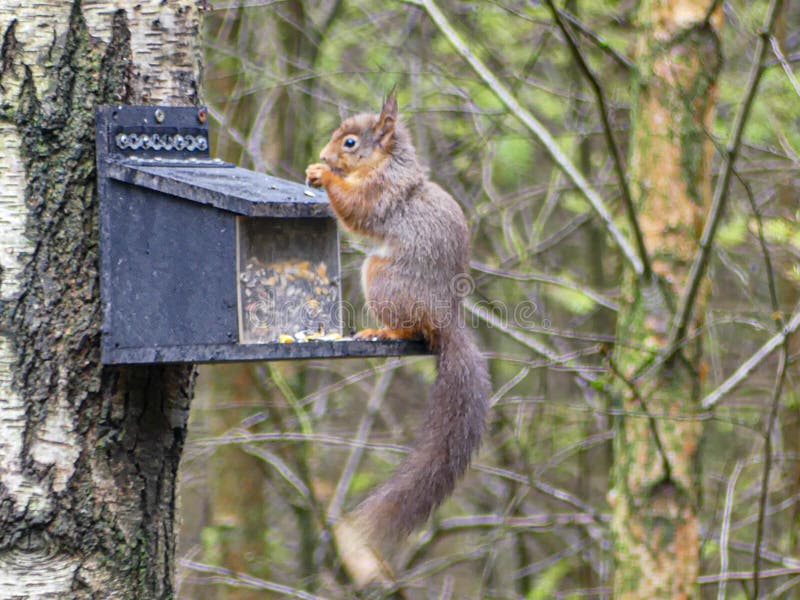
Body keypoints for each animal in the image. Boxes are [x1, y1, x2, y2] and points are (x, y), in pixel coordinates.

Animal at [306, 92, 490, 586]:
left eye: (350, 142)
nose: (325, 154)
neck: (390, 165)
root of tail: (445, 319)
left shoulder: (381, 194)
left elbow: (357, 208)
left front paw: (323, 175)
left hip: (381, 279)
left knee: (410, 329)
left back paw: (381, 330)